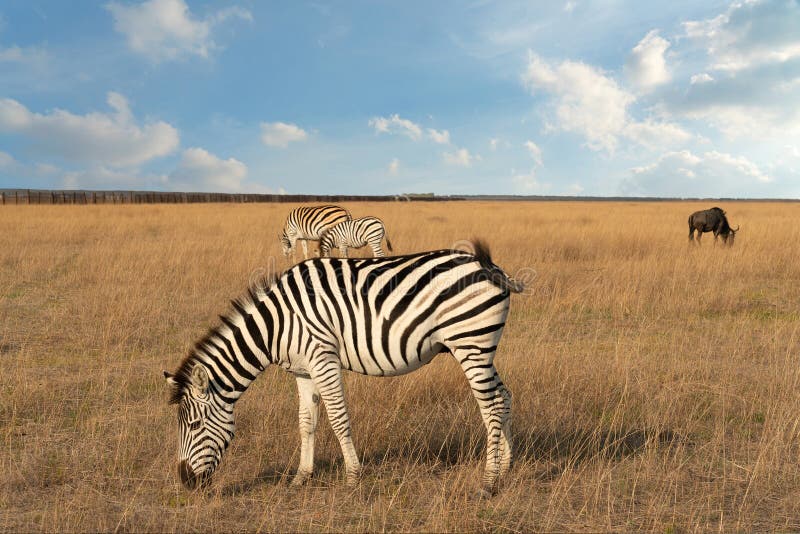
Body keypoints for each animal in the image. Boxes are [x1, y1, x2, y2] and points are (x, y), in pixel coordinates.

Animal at [164, 240, 523, 495]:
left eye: (194, 425)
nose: (185, 482)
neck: (277, 325)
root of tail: (490, 266)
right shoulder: (303, 370)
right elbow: (306, 422)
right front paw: (301, 478)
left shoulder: (323, 359)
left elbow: (337, 418)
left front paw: (353, 477)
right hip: (481, 349)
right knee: (504, 397)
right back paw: (506, 466)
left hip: (470, 344)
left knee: (491, 405)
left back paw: (489, 481)